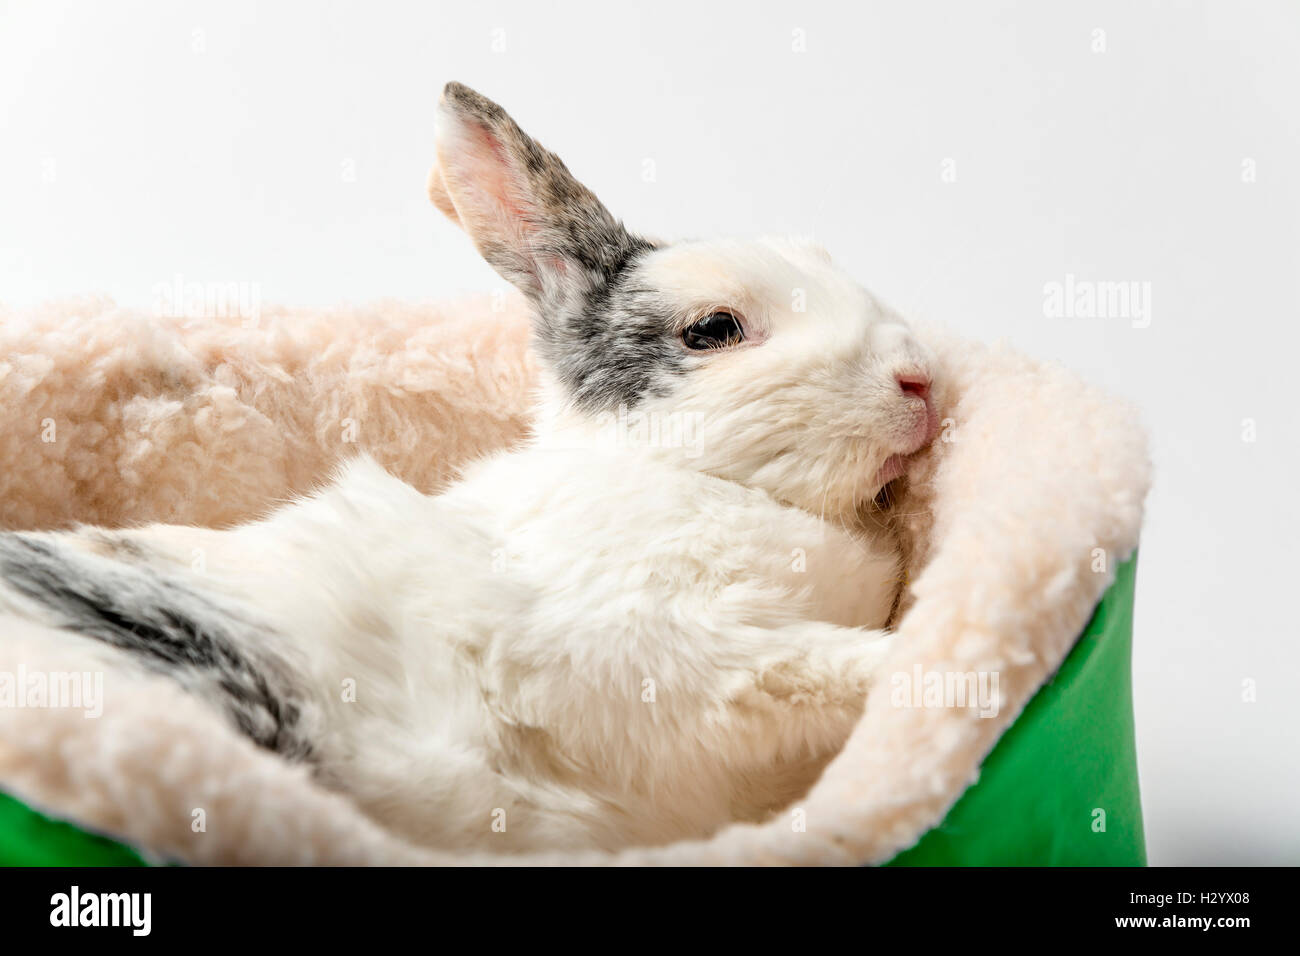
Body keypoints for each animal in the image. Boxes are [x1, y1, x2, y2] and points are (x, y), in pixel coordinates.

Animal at [0, 82, 939, 853]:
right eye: (713, 328)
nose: (919, 378)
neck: (700, 480)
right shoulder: (682, 652)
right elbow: (816, 664)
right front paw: (919, 665)